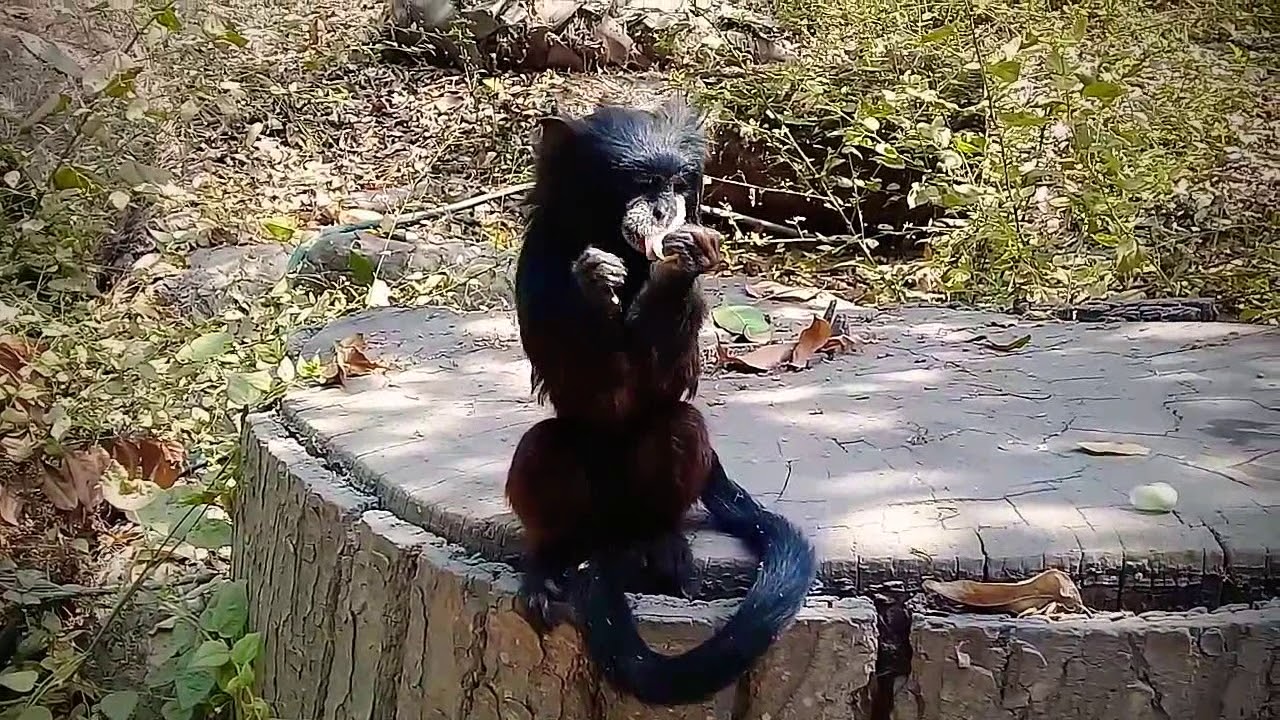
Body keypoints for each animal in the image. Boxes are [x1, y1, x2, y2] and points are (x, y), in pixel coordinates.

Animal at [504, 98, 818, 706]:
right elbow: (584, 387)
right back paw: (550, 562)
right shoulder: (538, 265)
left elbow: (667, 388)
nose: (662, 206)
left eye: (675, 183)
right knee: (545, 444)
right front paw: (593, 279)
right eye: (642, 184)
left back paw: (660, 539)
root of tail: (615, 532)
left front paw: (680, 268)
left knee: (680, 424)